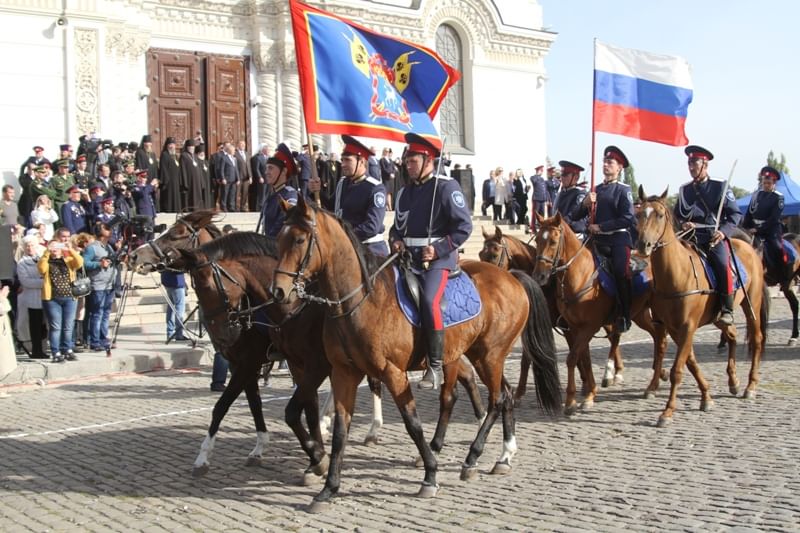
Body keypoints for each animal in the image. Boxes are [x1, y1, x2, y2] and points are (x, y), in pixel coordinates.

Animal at [272, 196, 560, 512]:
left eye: (299, 239)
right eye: (278, 239)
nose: (279, 291)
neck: (361, 301)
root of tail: (513, 277)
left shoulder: (392, 373)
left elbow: (413, 424)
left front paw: (430, 476)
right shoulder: (343, 372)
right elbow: (340, 431)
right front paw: (328, 488)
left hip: (490, 356)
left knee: (495, 400)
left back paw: (472, 458)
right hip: (481, 356)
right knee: (504, 395)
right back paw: (504, 455)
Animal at [536, 210, 672, 414]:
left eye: (553, 241)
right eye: (537, 239)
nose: (539, 275)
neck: (579, 275)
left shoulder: (589, 326)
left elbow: (572, 358)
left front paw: (571, 401)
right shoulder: (575, 328)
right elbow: (584, 359)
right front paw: (589, 393)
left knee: (659, 339)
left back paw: (652, 385)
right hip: (639, 314)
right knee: (656, 337)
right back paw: (658, 374)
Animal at [636, 185, 768, 426]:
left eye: (659, 215)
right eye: (639, 213)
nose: (643, 245)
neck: (676, 274)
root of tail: (749, 247)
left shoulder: (687, 326)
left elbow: (677, 369)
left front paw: (667, 411)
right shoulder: (674, 327)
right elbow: (690, 362)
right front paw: (706, 396)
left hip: (751, 304)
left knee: (756, 339)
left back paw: (750, 386)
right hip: (719, 317)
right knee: (732, 335)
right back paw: (733, 381)